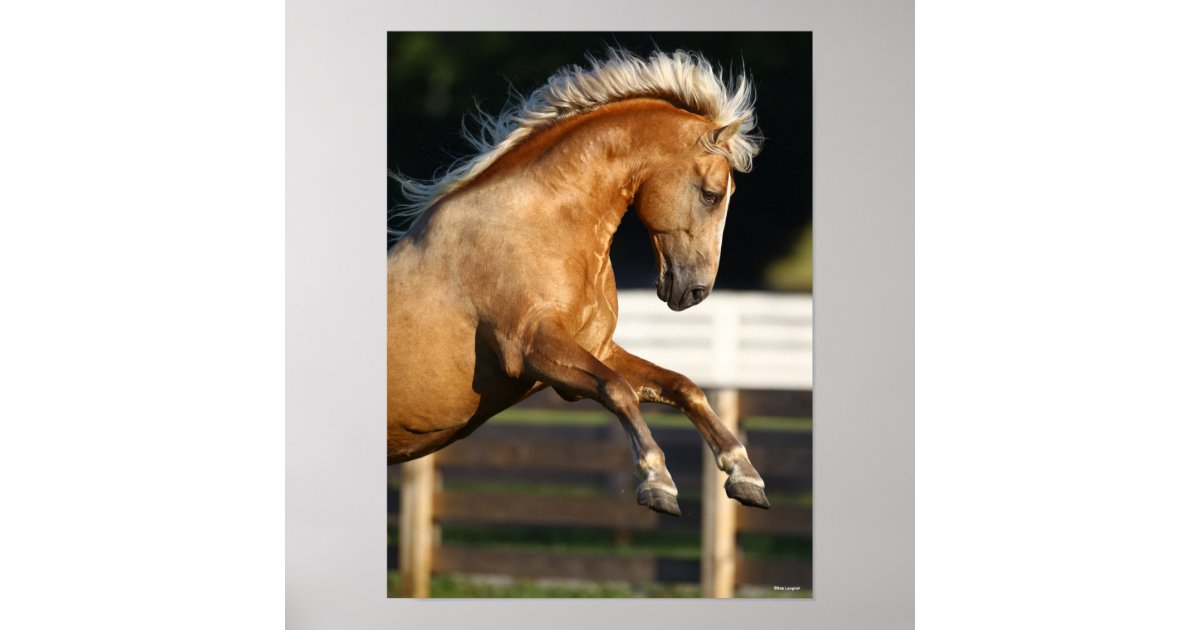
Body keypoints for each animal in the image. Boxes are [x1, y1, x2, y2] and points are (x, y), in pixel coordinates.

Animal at [387, 49, 770, 515]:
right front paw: (657, 482)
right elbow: (617, 389)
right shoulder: (531, 348)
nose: (695, 291)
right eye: (712, 195)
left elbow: (683, 387)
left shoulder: (596, 348)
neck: (539, 227)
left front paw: (745, 475)